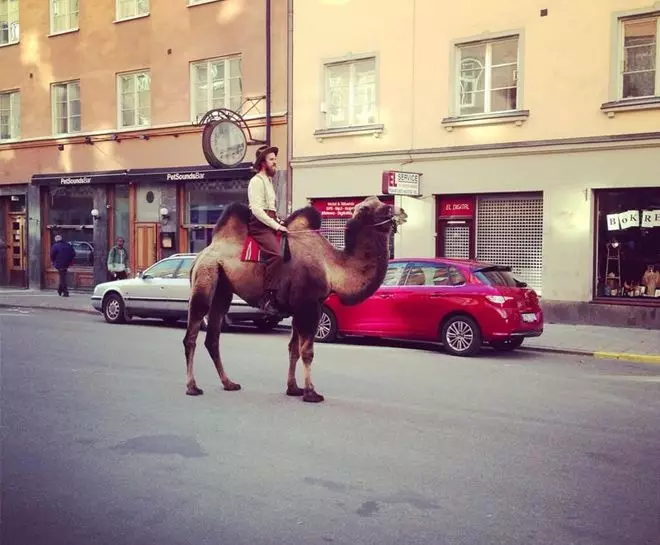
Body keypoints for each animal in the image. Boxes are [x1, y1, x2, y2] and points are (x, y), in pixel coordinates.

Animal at [182, 194, 408, 400]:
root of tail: (202, 253)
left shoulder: (300, 306)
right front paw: (311, 393)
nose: (402, 211)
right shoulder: (309, 304)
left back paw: (228, 383)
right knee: (191, 335)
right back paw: (192, 387)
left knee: (213, 337)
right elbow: (307, 351)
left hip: (223, 289)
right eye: (373, 208)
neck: (331, 266)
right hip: (206, 275)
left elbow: (294, 349)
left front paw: (293, 389)